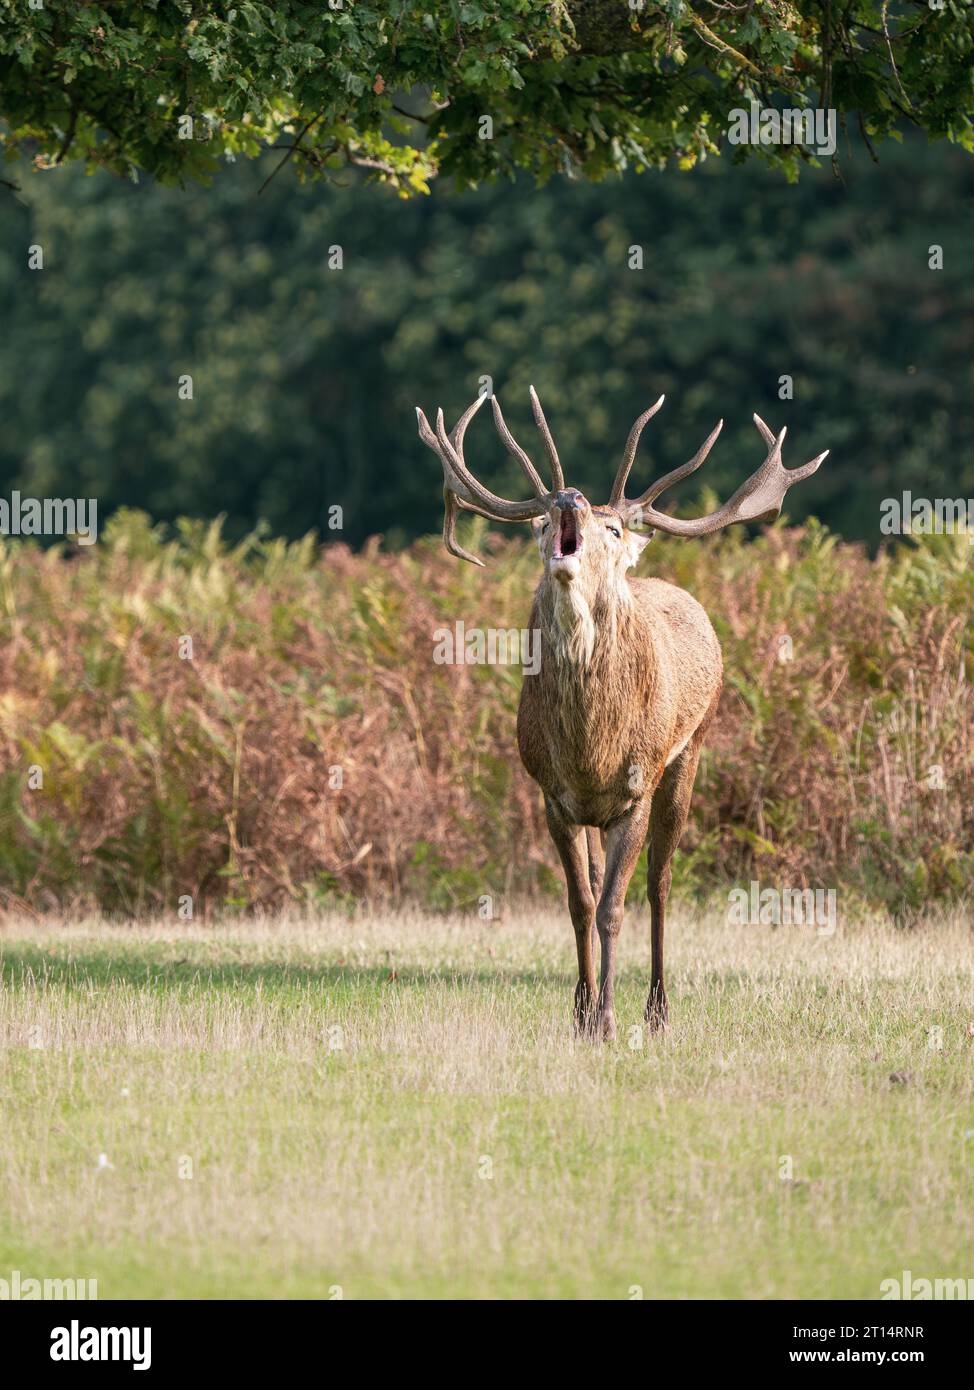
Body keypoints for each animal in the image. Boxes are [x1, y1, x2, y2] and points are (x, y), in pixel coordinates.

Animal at [416, 388, 827, 1040]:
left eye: (611, 527)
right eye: (541, 522)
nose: (570, 498)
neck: (591, 747)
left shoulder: (636, 787)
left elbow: (614, 907)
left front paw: (609, 1018)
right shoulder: (554, 795)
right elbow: (580, 903)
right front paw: (582, 1013)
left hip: (688, 754)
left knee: (659, 883)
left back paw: (658, 1009)